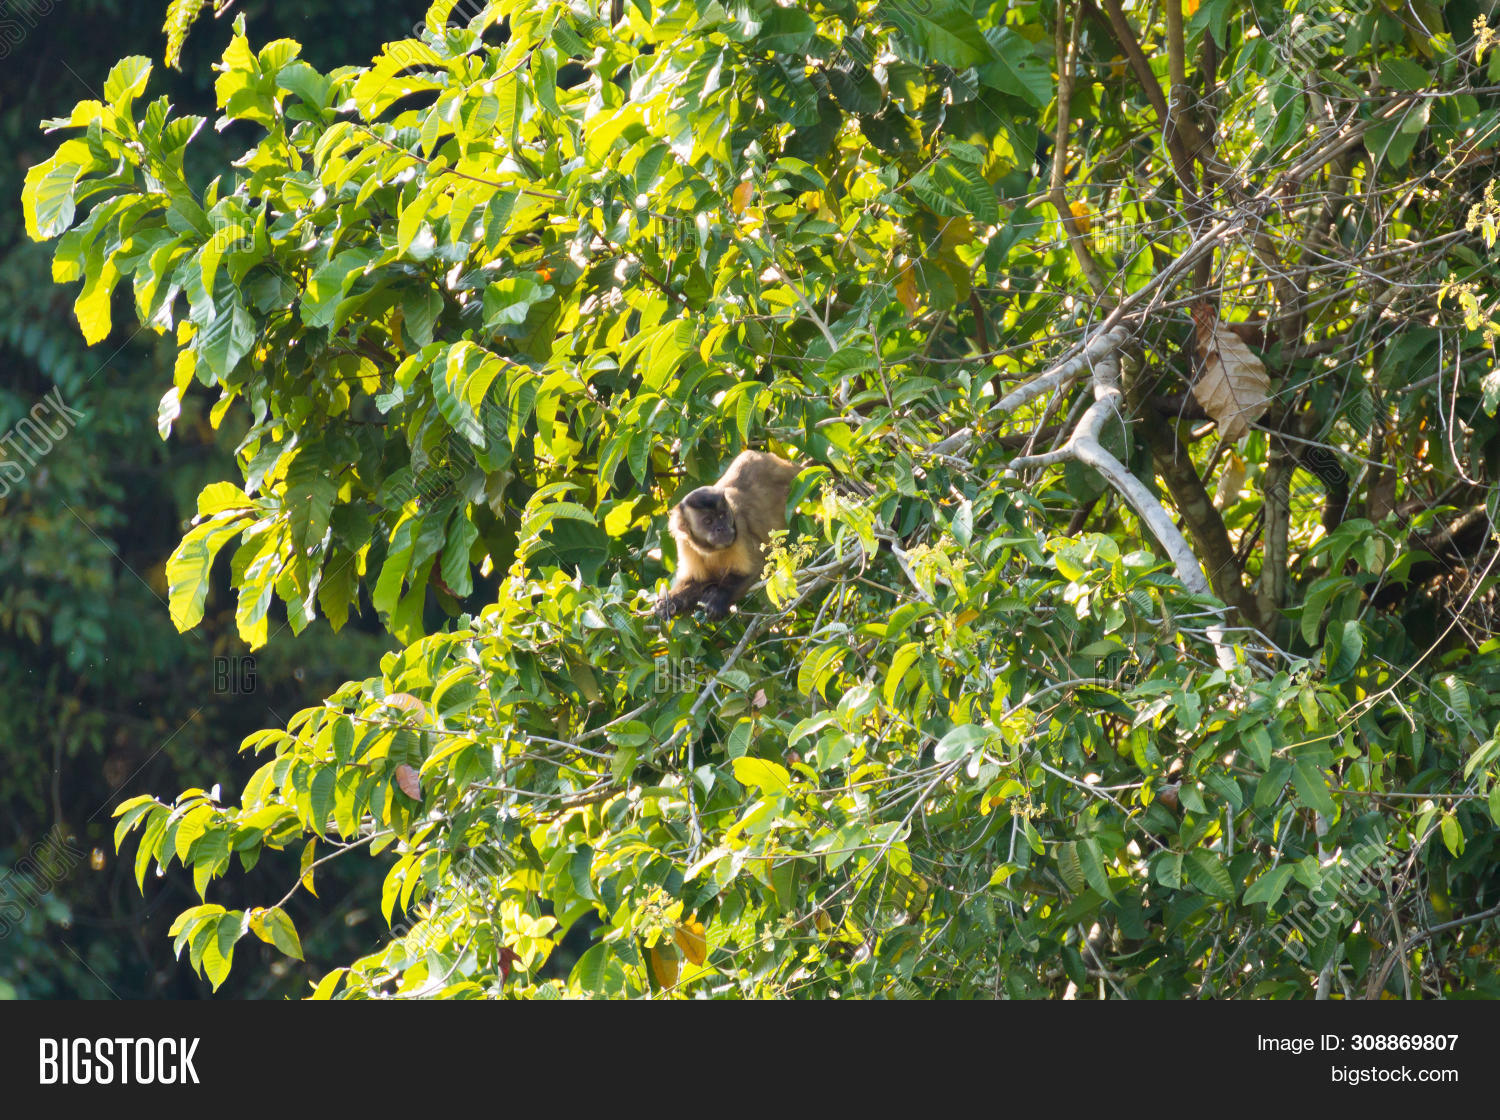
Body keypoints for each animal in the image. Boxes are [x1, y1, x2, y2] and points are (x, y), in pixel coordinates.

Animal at [657, 450, 807, 621]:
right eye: (708, 521)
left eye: (722, 515)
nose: (721, 528)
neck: (711, 550)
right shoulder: (684, 542)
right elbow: (696, 580)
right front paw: (669, 603)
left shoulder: (738, 524)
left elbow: (755, 567)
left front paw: (717, 598)